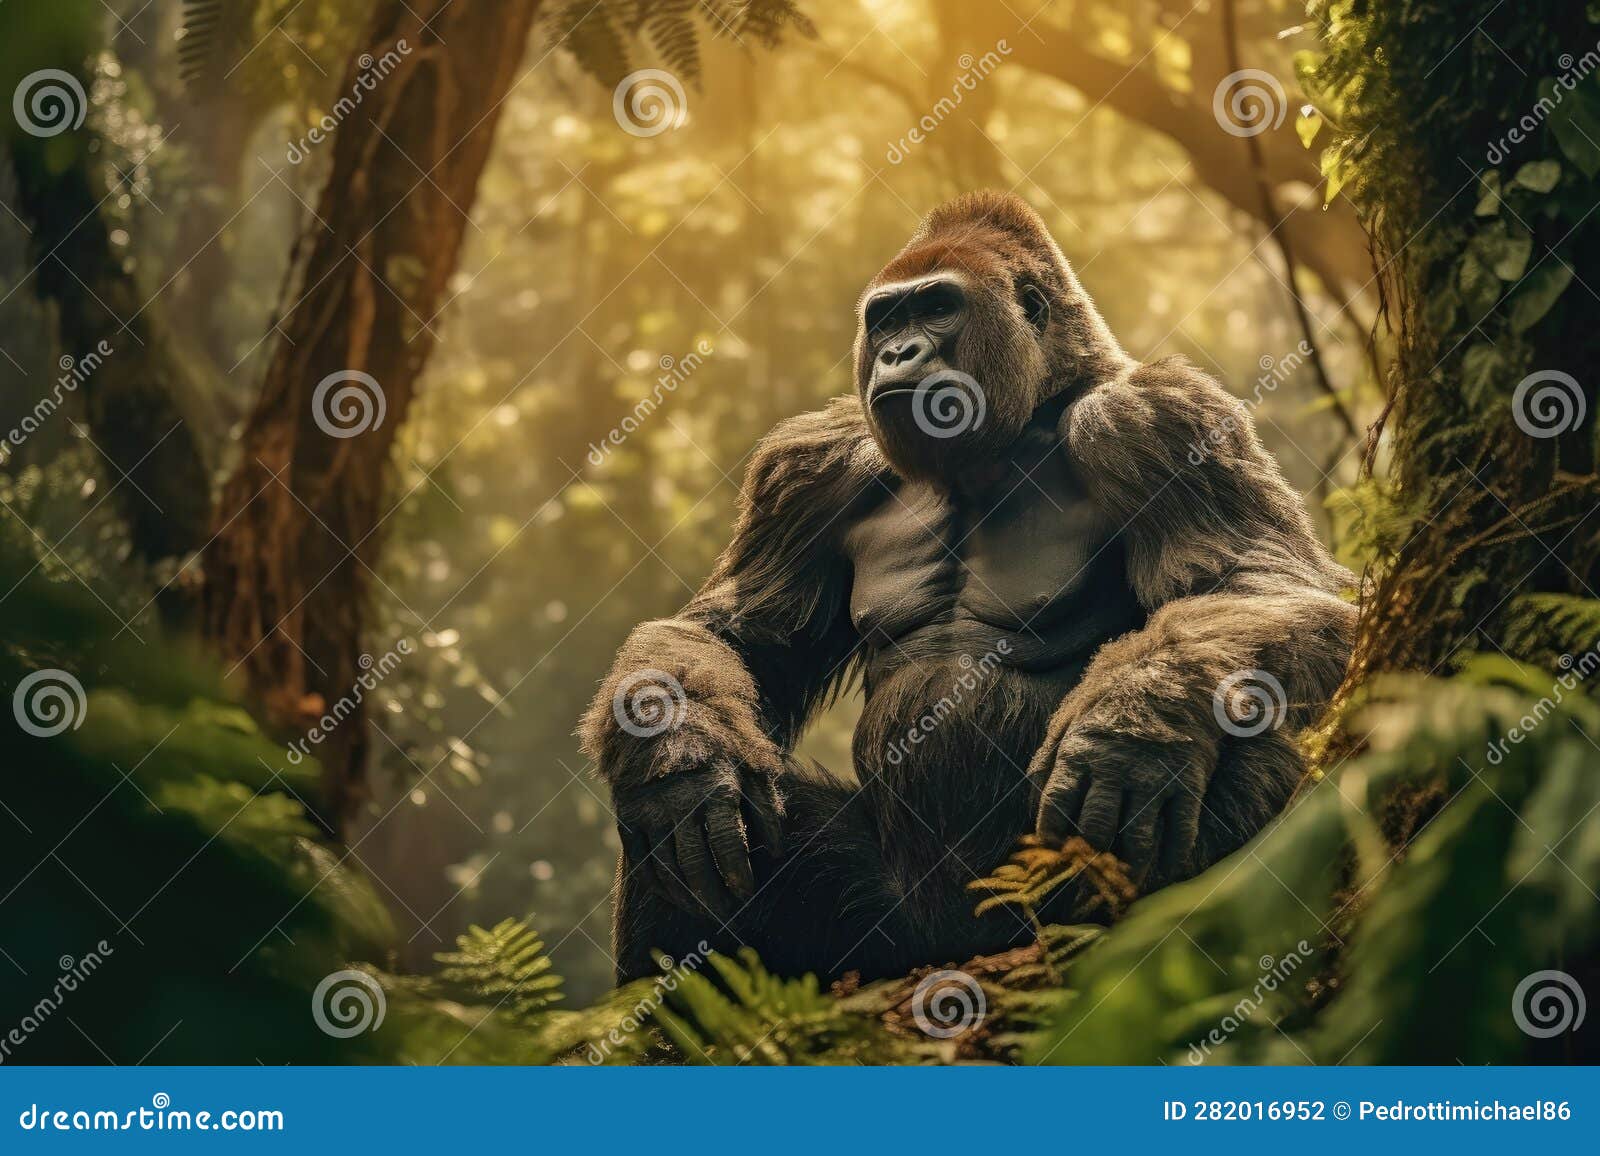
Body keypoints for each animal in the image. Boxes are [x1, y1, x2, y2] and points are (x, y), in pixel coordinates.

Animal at [581, 190, 1355, 984]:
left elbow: (1264, 588)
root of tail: (953, 949)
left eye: (937, 308)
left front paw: (1132, 728)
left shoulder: (1158, 420)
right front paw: (684, 762)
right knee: (688, 829)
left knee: (1243, 724)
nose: (898, 354)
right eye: (887, 319)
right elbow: (733, 636)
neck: (1029, 416)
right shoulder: (811, 467)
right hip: (886, 942)